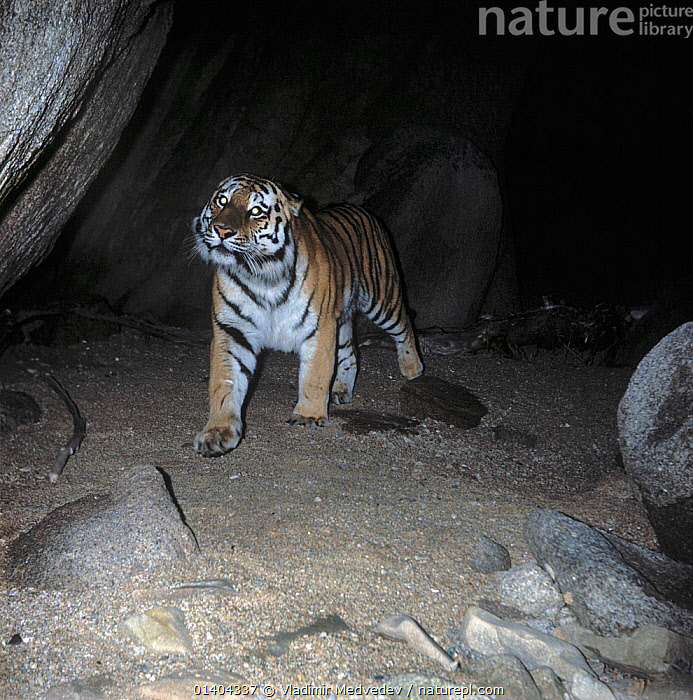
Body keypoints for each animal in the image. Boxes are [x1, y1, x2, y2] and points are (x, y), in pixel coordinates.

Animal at [192, 174, 423, 457]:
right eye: (222, 201)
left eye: (255, 211)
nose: (222, 231)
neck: (261, 276)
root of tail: (363, 210)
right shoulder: (232, 330)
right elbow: (225, 382)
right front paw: (217, 433)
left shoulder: (320, 326)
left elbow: (315, 374)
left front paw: (308, 416)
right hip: (342, 321)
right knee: (351, 354)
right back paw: (340, 390)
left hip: (382, 299)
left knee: (405, 325)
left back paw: (413, 369)